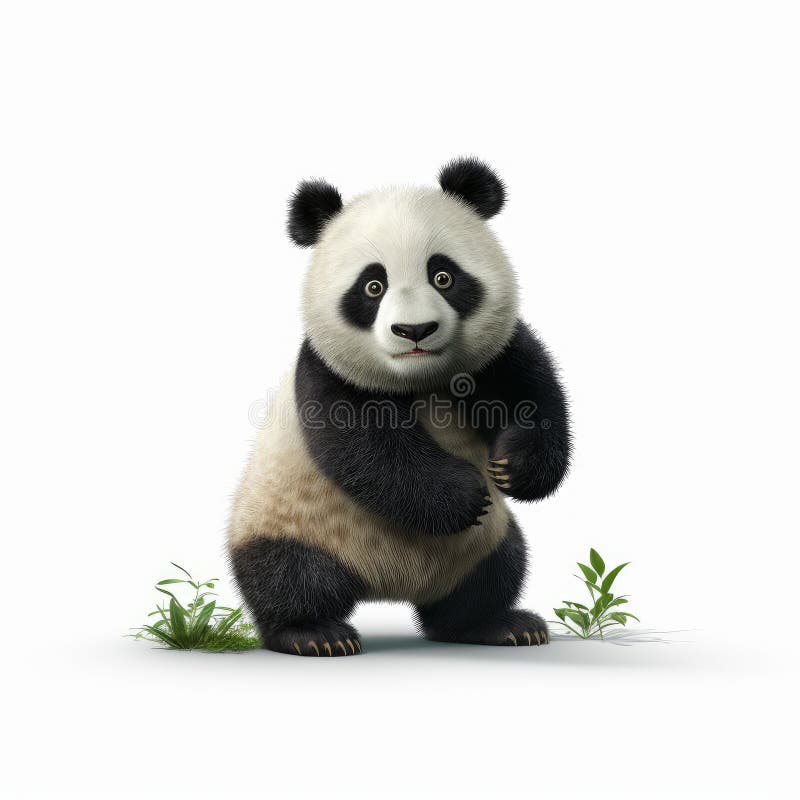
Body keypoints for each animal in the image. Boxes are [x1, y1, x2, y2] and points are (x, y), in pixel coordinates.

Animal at [228, 157, 571, 656]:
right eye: (373, 285)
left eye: (443, 277)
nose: (415, 331)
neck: (419, 380)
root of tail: (390, 587)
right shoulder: (326, 371)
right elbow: (367, 450)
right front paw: (466, 494)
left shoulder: (496, 353)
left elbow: (533, 397)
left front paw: (513, 470)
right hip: (285, 523)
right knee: (289, 575)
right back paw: (315, 634)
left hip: (482, 545)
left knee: (496, 571)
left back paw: (500, 625)